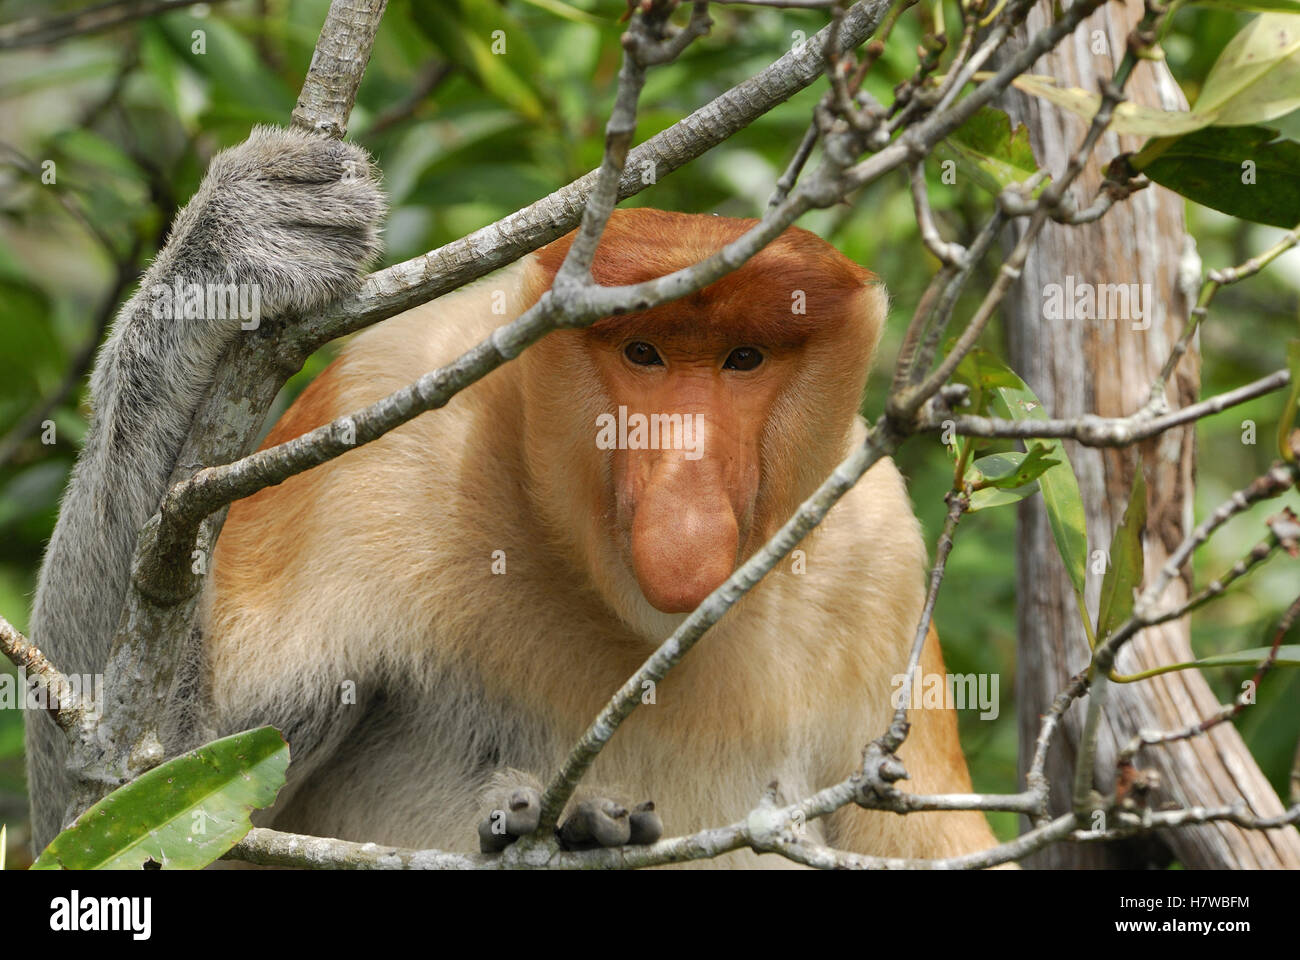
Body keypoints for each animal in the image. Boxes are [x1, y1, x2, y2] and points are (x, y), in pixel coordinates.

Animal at [26, 126, 1001, 866]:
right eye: (642, 353)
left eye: (744, 360)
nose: (685, 492)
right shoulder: (383, 414)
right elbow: (140, 790)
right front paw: (238, 239)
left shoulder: (878, 551)